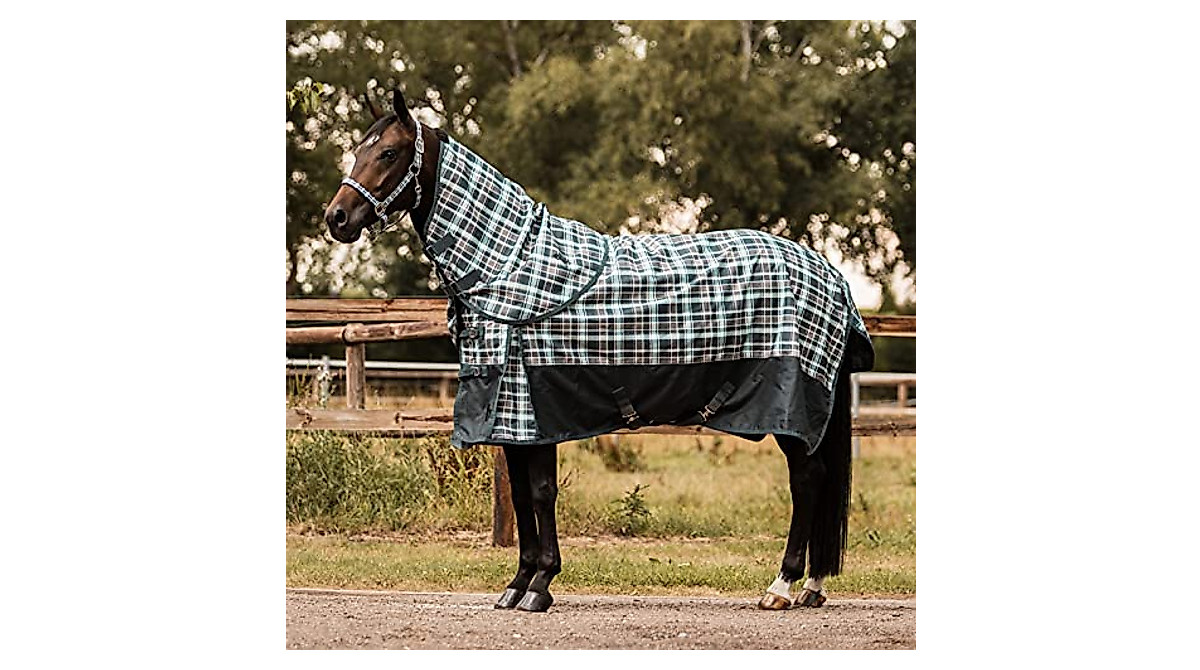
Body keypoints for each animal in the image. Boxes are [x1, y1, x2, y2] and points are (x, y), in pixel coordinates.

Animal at [322, 88, 874, 613]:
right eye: (359, 150)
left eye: (388, 152)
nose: (337, 218)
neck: (509, 263)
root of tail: (829, 272)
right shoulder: (511, 423)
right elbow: (520, 497)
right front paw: (516, 585)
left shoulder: (533, 412)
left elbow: (541, 493)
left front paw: (541, 585)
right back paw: (811, 587)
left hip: (792, 409)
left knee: (808, 481)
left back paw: (781, 587)